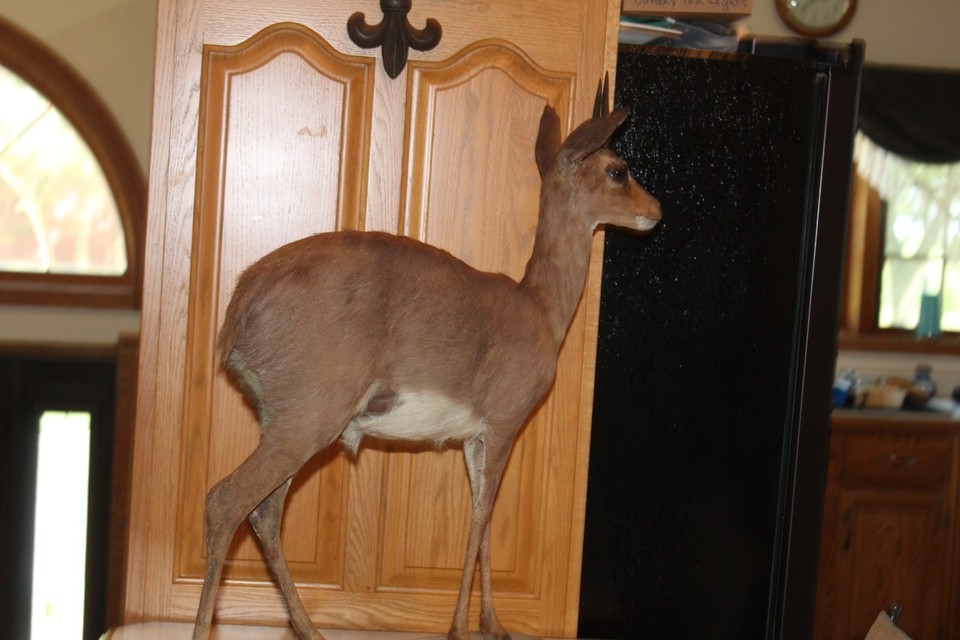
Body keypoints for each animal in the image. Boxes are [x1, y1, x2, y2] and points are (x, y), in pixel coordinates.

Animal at [193, 90, 661, 640]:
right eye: (617, 169)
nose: (656, 210)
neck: (539, 308)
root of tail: (242, 301)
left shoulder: (473, 439)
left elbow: (483, 518)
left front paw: (493, 624)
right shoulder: (504, 425)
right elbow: (481, 517)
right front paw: (460, 627)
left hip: (289, 427)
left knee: (262, 514)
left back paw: (311, 630)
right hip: (306, 424)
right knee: (224, 501)